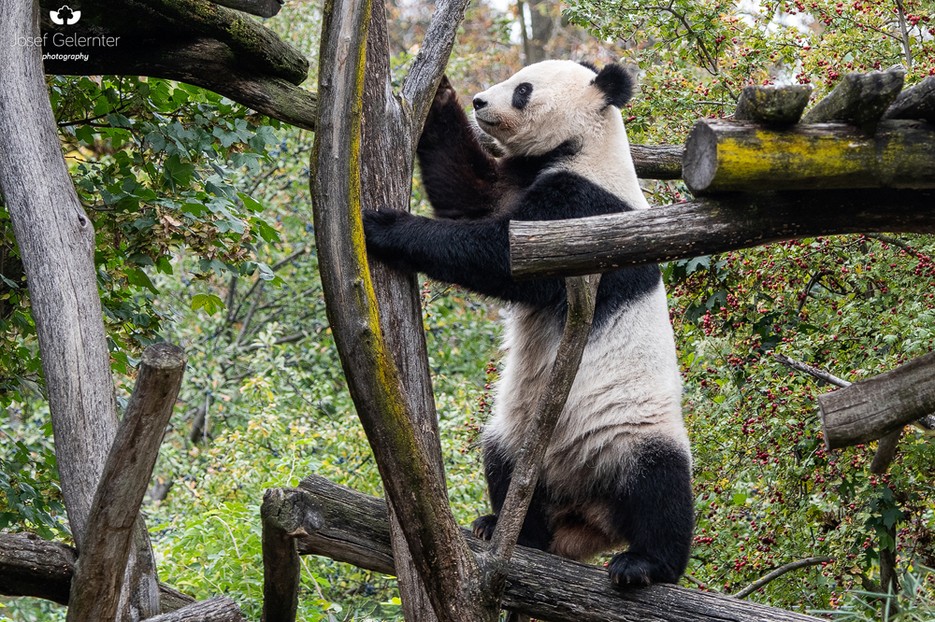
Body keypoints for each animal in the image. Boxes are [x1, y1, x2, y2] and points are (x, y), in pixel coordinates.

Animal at [363, 60, 693, 588]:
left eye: (523, 90)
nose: (480, 101)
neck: (580, 145)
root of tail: (586, 521)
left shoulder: (585, 212)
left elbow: (505, 253)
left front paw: (385, 226)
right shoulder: (521, 178)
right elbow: (470, 194)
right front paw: (440, 92)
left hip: (631, 429)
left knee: (660, 486)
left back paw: (645, 564)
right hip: (518, 434)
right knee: (502, 459)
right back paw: (505, 527)